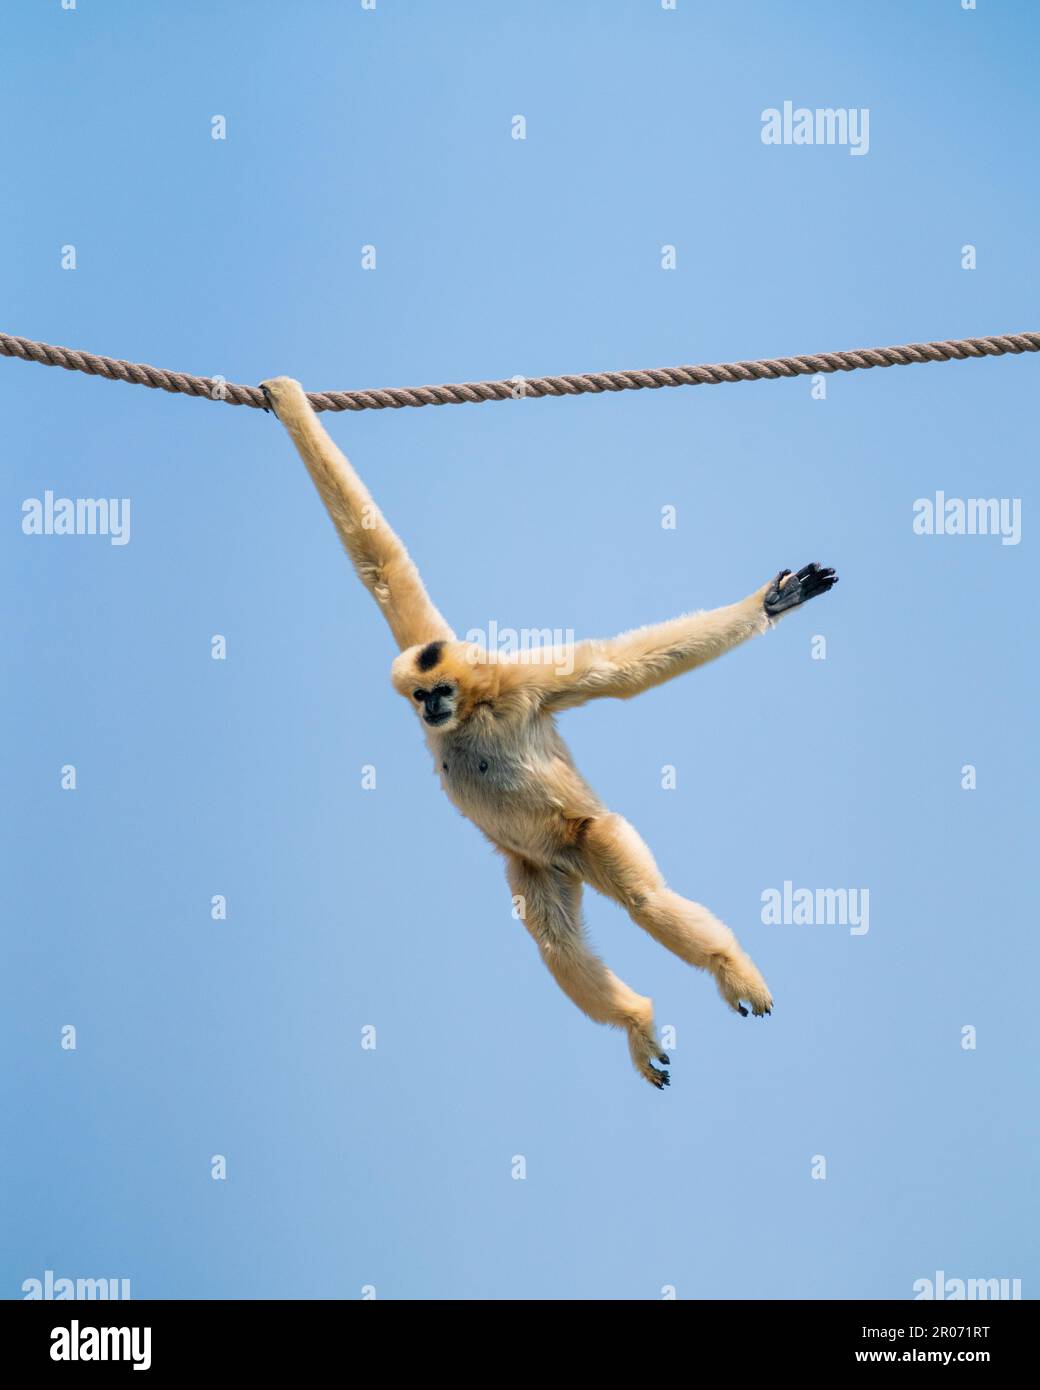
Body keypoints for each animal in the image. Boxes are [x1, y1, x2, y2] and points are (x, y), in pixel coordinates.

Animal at [259, 376, 838, 1088]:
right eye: (421, 694)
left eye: (441, 692)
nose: (430, 710)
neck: (473, 711)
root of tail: (569, 855)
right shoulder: (429, 645)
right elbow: (381, 565)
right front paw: (287, 398)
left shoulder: (525, 683)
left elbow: (617, 668)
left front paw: (771, 602)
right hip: (537, 866)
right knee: (555, 941)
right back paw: (636, 1021)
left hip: (593, 833)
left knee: (644, 898)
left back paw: (730, 972)